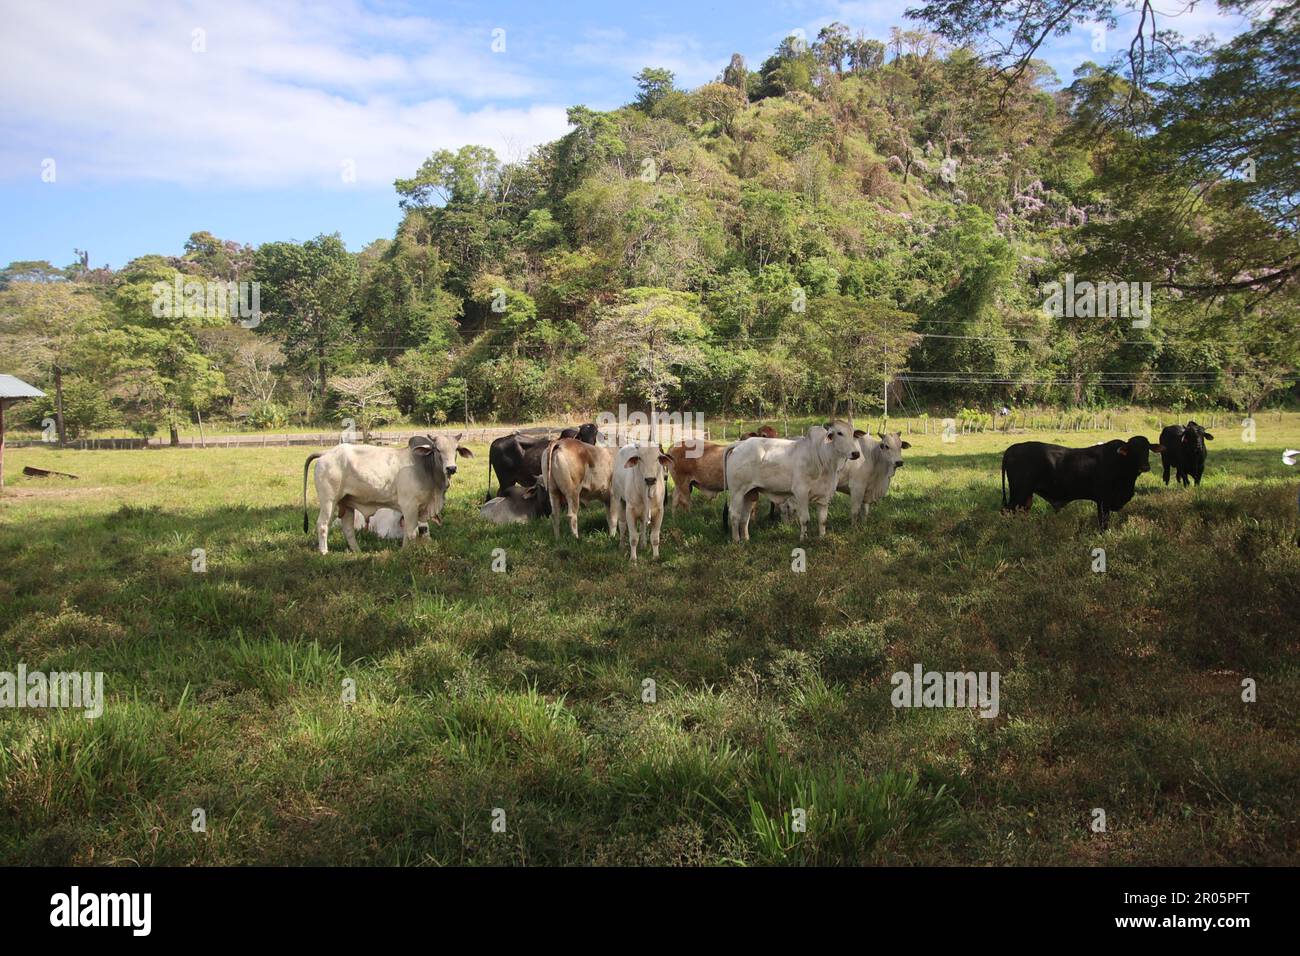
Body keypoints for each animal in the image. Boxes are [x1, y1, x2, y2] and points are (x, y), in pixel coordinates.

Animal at [303, 434, 472, 554]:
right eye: (437, 449)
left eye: (456, 449)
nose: (451, 468)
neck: (426, 468)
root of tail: (325, 453)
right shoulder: (409, 505)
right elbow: (411, 532)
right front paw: (407, 553)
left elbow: (411, 532)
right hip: (329, 501)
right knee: (322, 524)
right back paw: (324, 552)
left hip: (347, 503)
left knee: (348, 529)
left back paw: (358, 551)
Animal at [722, 421, 861, 542]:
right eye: (839, 433)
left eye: (853, 433)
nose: (856, 453)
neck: (822, 457)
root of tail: (739, 444)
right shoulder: (801, 493)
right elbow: (805, 519)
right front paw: (803, 539)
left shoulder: (824, 496)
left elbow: (822, 520)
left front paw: (822, 538)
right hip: (737, 492)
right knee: (734, 514)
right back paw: (736, 540)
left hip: (750, 493)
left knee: (745, 516)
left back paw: (746, 539)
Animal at [1001, 436, 1161, 532]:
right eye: (1133, 450)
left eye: (1147, 449)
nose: (1145, 466)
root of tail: (1011, 449)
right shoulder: (1103, 500)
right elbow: (1103, 522)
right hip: (1019, 493)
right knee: (1007, 511)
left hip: (1026, 495)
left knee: (1022, 512)